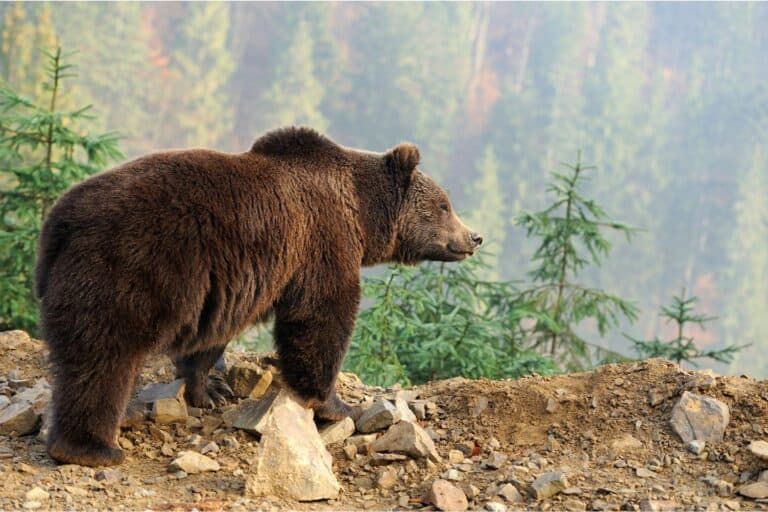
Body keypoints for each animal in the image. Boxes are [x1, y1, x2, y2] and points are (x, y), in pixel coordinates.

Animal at [35, 126, 482, 467]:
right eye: (444, 205)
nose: (474, 237)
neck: (360, 214)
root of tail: (60, 220)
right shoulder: (320, 241)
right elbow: (321, 318)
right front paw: (337, 405)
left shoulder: (228, 283)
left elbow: (211, 337)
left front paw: (209, 390)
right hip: (128, 269)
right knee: (103, 358)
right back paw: (92, 447)